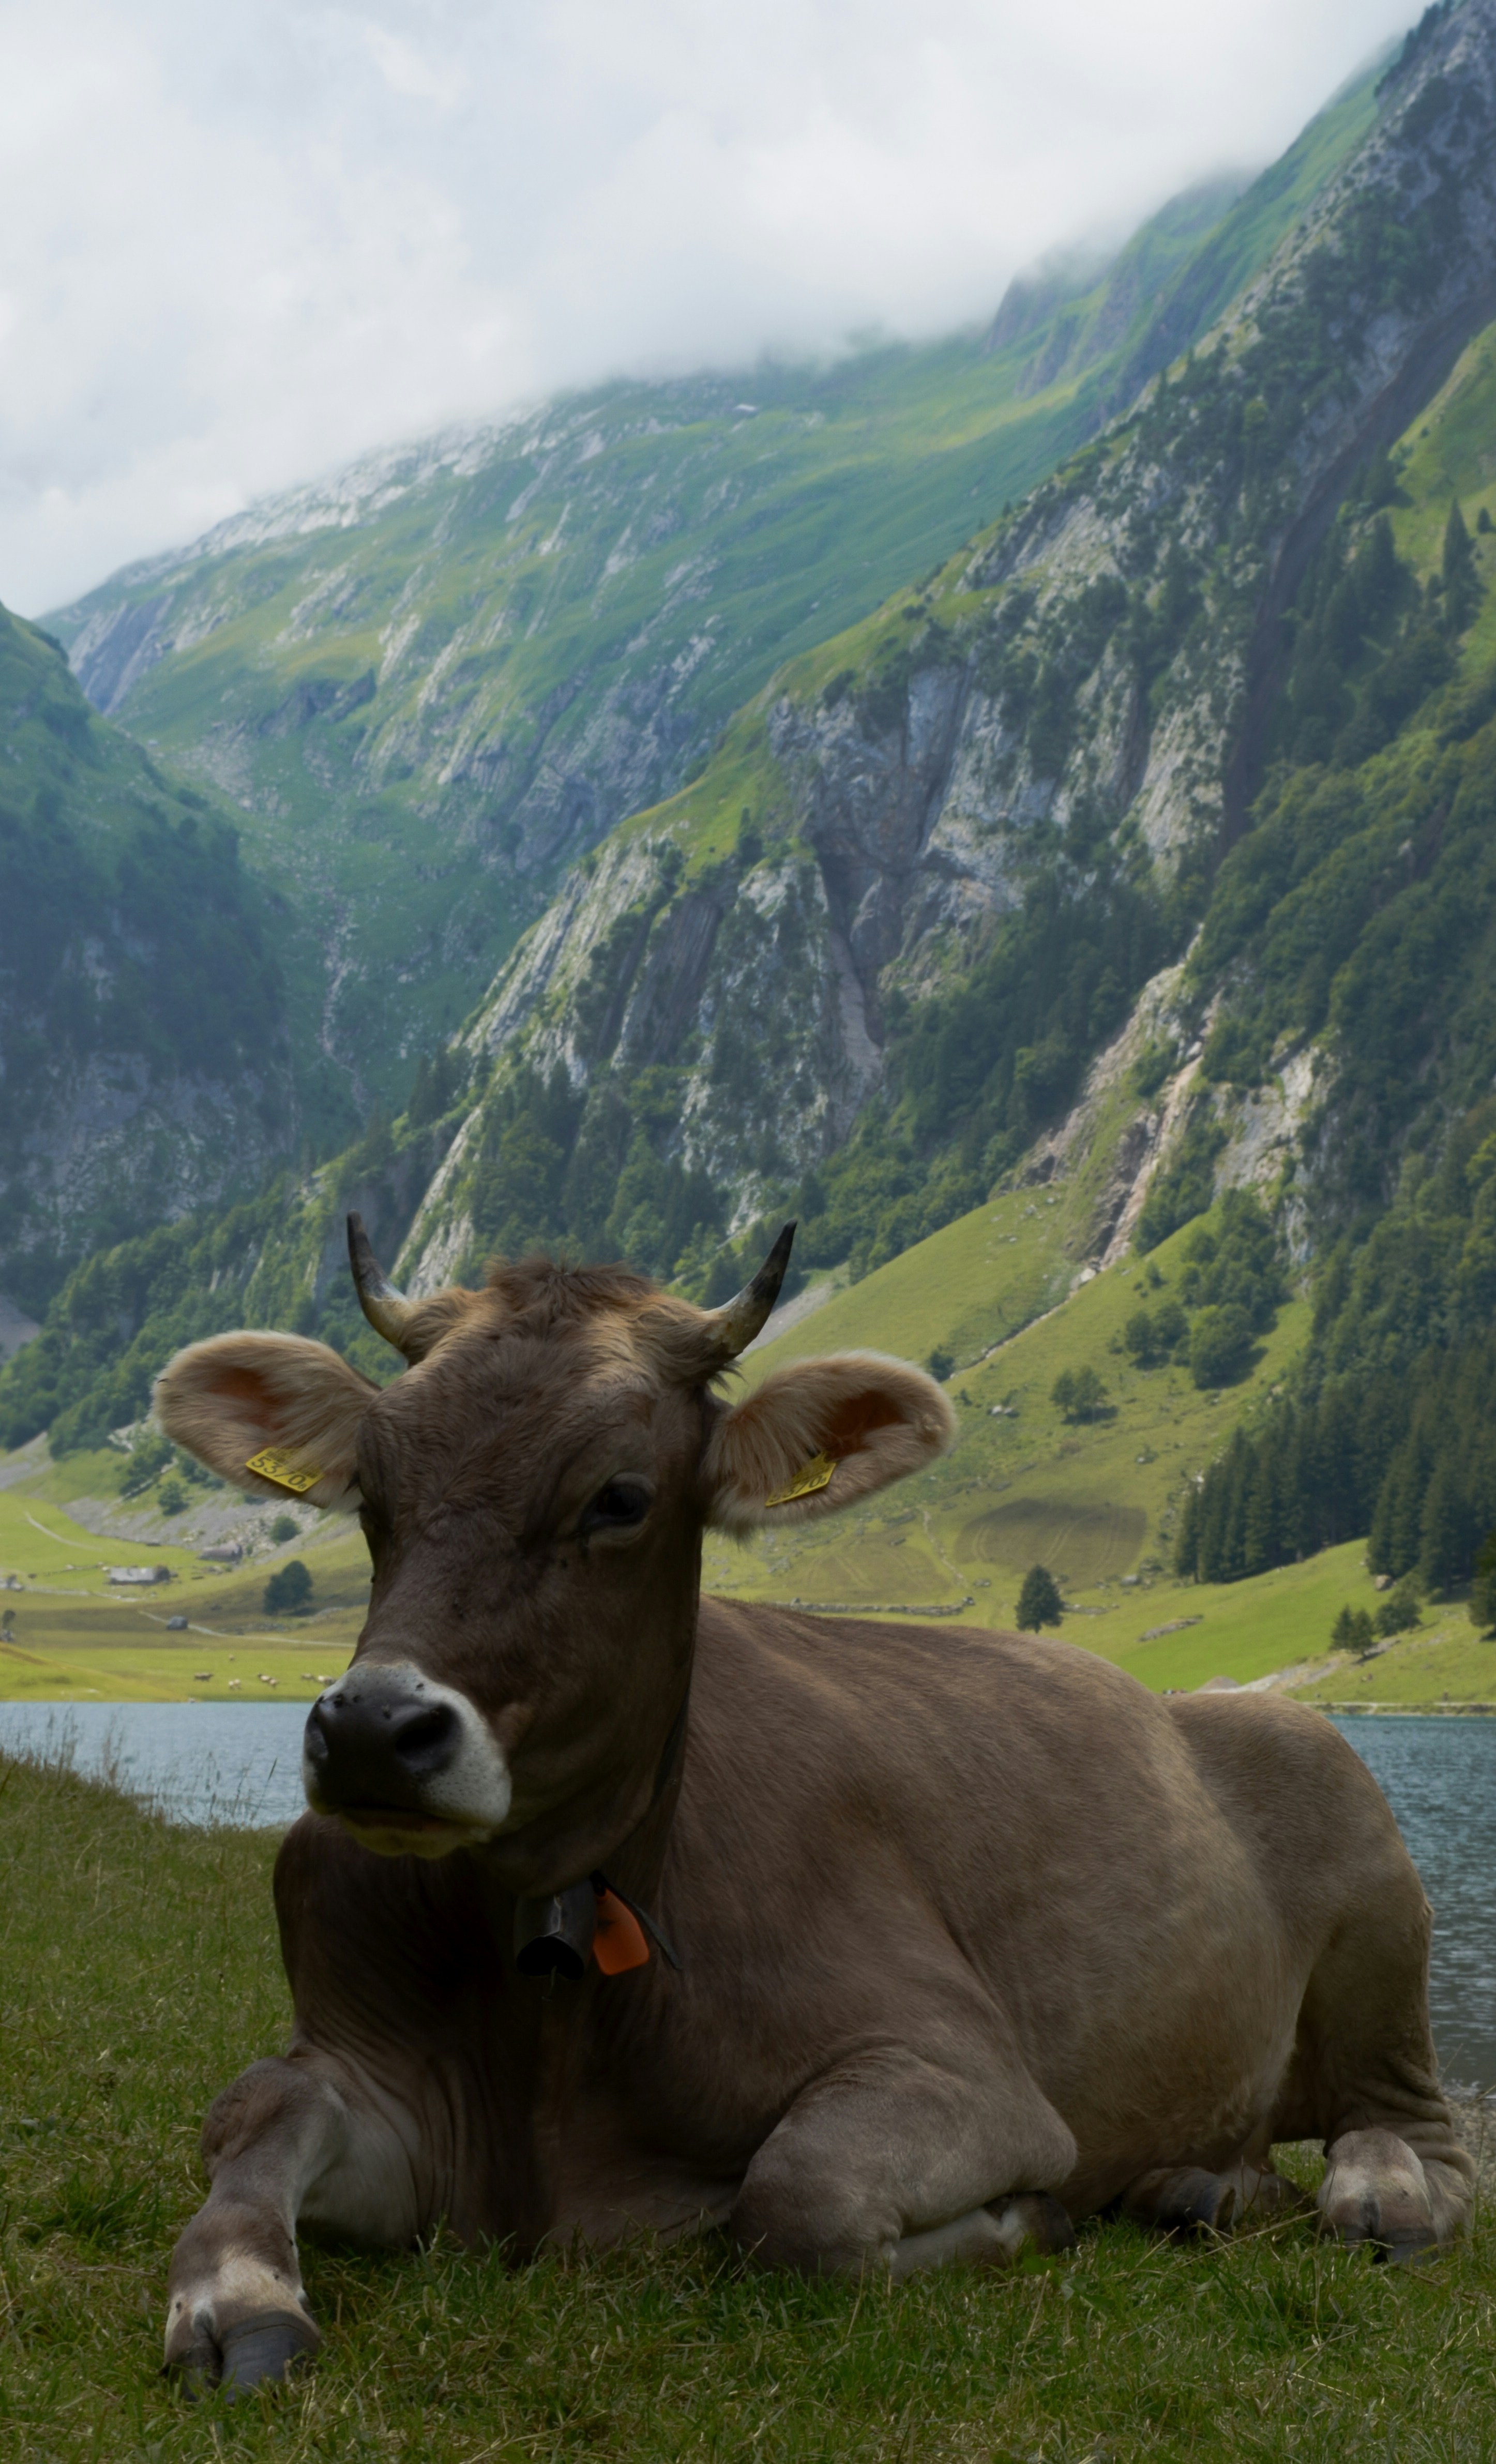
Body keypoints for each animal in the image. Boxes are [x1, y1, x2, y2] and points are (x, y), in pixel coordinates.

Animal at [153, 1217, 1471, 2394]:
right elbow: (254, 2108)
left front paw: (1030, 2217)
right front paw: (236, 2298)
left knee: (1418, 2127)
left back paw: (1377, 2195)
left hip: (1363, 1866)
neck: (549, 2008)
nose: (374, 1729)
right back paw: (1195, 2186)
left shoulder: (960, 2067)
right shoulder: (374, 2070)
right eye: (372, 1488)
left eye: (620, 1495)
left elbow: (798, 2200)